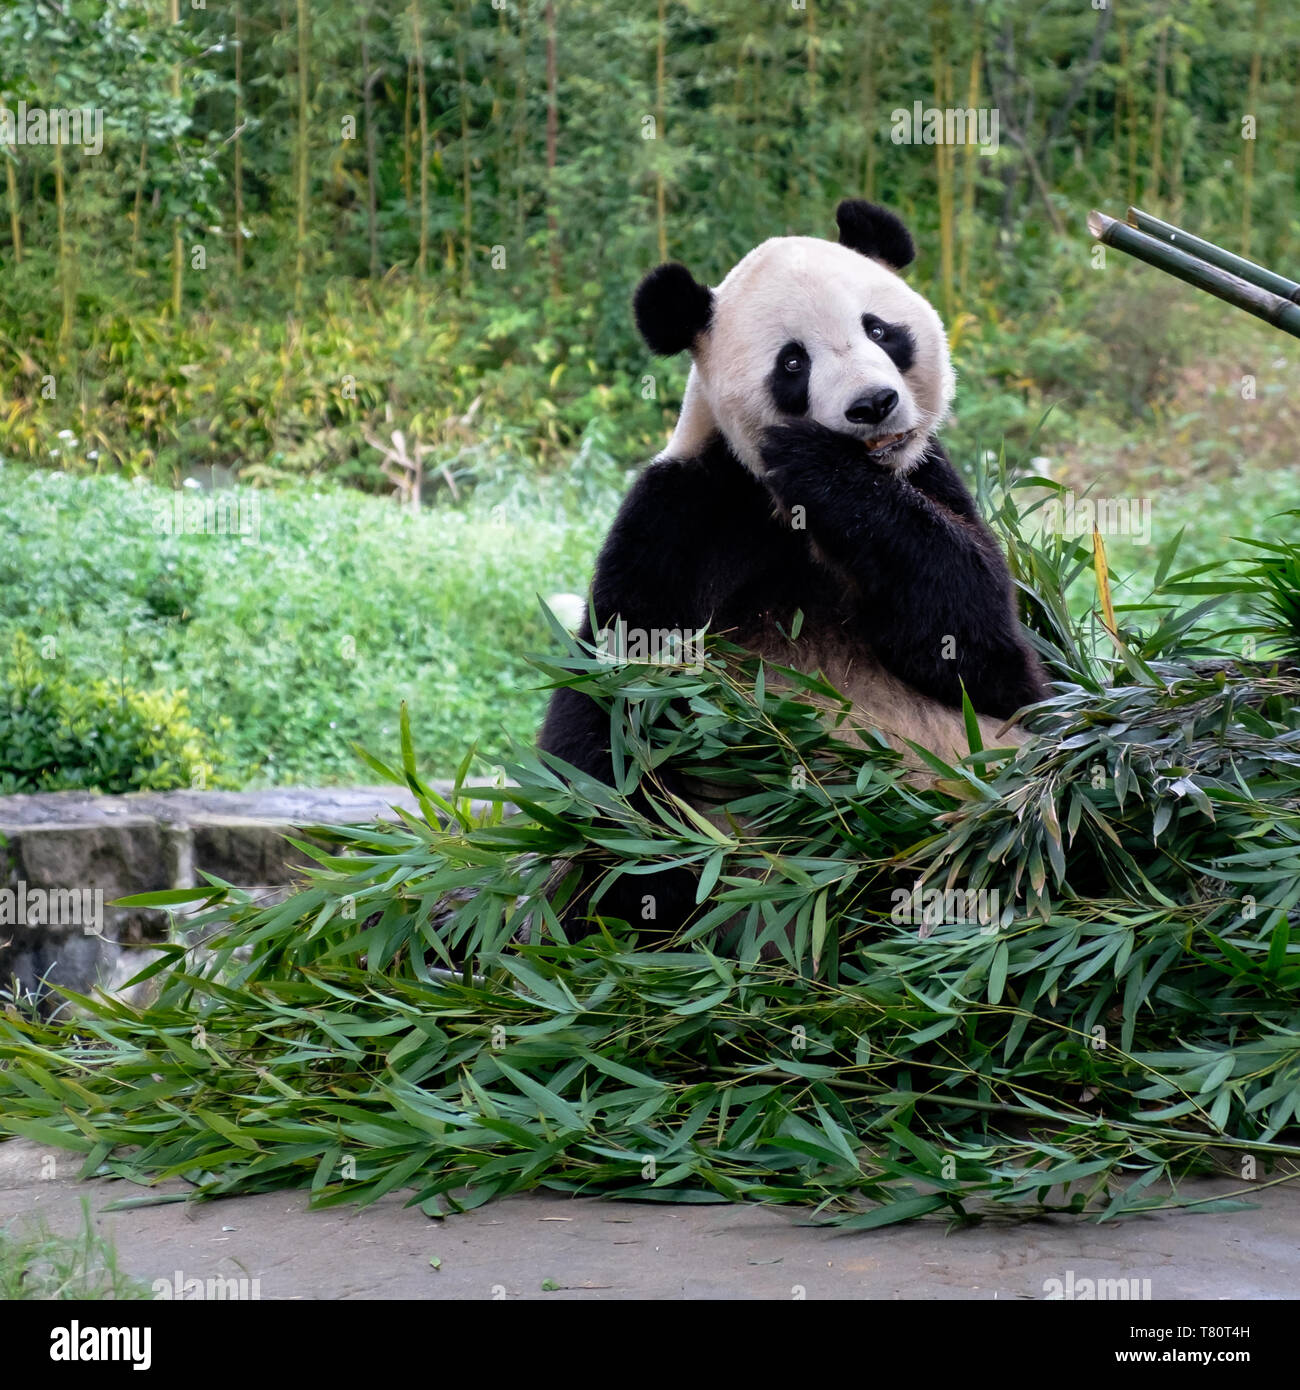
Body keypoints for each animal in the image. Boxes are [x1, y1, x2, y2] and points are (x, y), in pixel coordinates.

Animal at [537, 200, 1048, 933]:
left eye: (878, 328)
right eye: (793, 362)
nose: (872, 405)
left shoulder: (928, 480)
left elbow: (985, 655)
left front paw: (822, 468)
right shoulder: (686, 509)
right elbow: (620, 690)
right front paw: (639, 877)